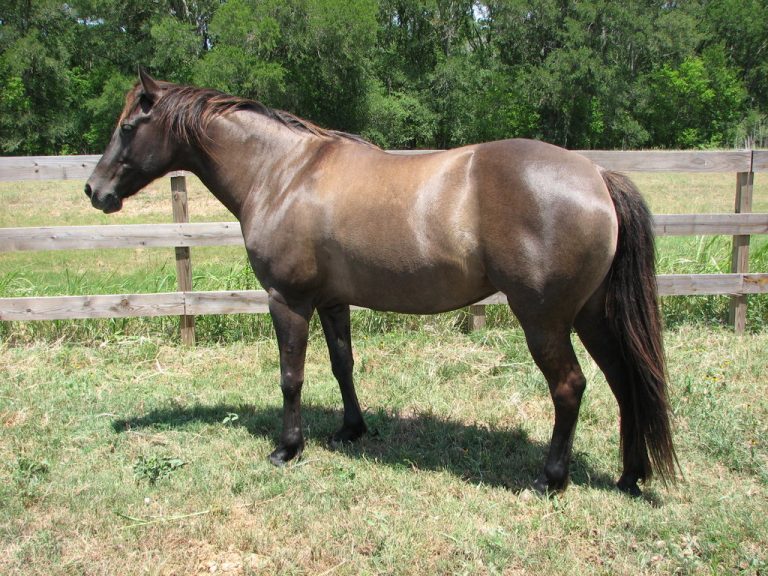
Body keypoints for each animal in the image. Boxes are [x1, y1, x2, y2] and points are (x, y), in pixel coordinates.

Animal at [85, 70, 677, 496]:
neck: (283, 173)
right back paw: (630, 475)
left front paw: (287, 448)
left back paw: (551, 479)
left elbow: (291, 377)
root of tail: (596, 176)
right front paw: (352, 429)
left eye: (128, 127)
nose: (95, 190)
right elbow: (342, 364)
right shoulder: (332, 302)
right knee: (625, 381)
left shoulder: (288, 301)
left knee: (570, 387)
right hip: (592, 316)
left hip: (545, 321)